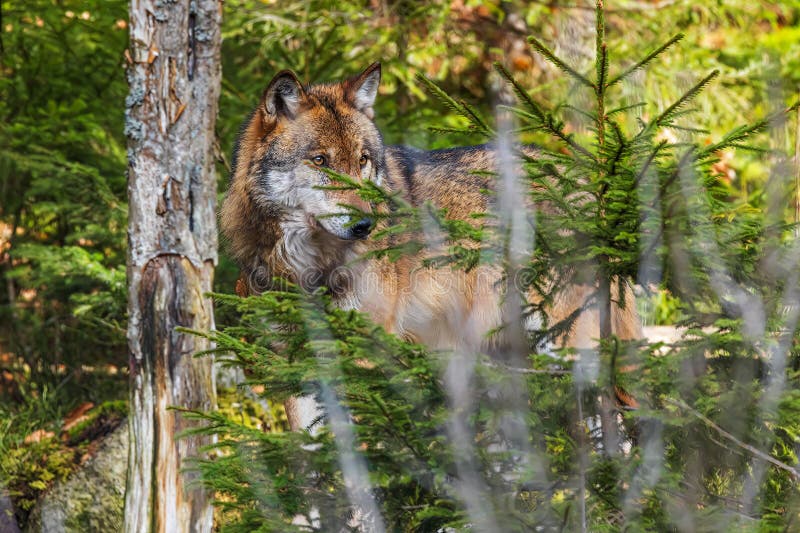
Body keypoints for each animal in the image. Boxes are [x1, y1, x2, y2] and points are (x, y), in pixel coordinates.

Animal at [221, 63, 641, 429]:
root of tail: (590, 185)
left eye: (363, 160)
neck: (307, 266)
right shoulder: (292, 364)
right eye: (321, 160)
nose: (366, 225)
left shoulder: (368, 355)